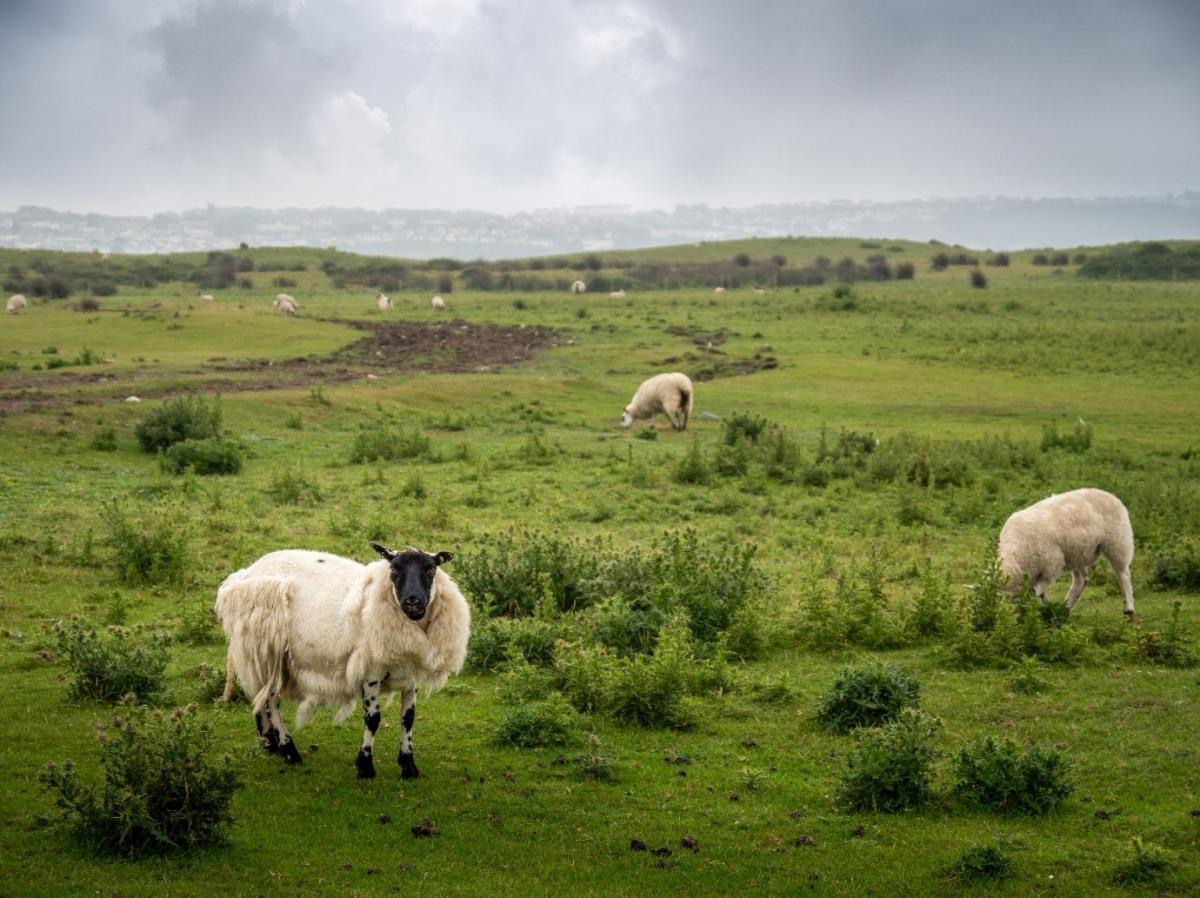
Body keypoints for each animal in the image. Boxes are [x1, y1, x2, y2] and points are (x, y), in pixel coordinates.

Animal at [215, 543, 470, 778]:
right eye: (394, 571)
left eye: (431, 570)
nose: (413, 602)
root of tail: (242, 574)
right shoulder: (371, 674)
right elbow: (373, 719)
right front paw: (365, 766)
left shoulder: (411, 677)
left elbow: (408, 720)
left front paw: (408, 766)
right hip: (267, 648)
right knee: (269, 701)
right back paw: (289, 751)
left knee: (263, 696)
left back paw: (270, 744)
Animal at [998, 488, 1135, 619]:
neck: (1017, 552)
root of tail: (1110, 495)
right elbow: (1040, 594)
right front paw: (1047, 608)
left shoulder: (1052, 564)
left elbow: (1036, 591)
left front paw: (1045, 609)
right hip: (1078, 553)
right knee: (1081, 580)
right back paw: (1065, 608)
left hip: (1118, 542)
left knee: (1123, 574)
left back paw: (1129, 608)